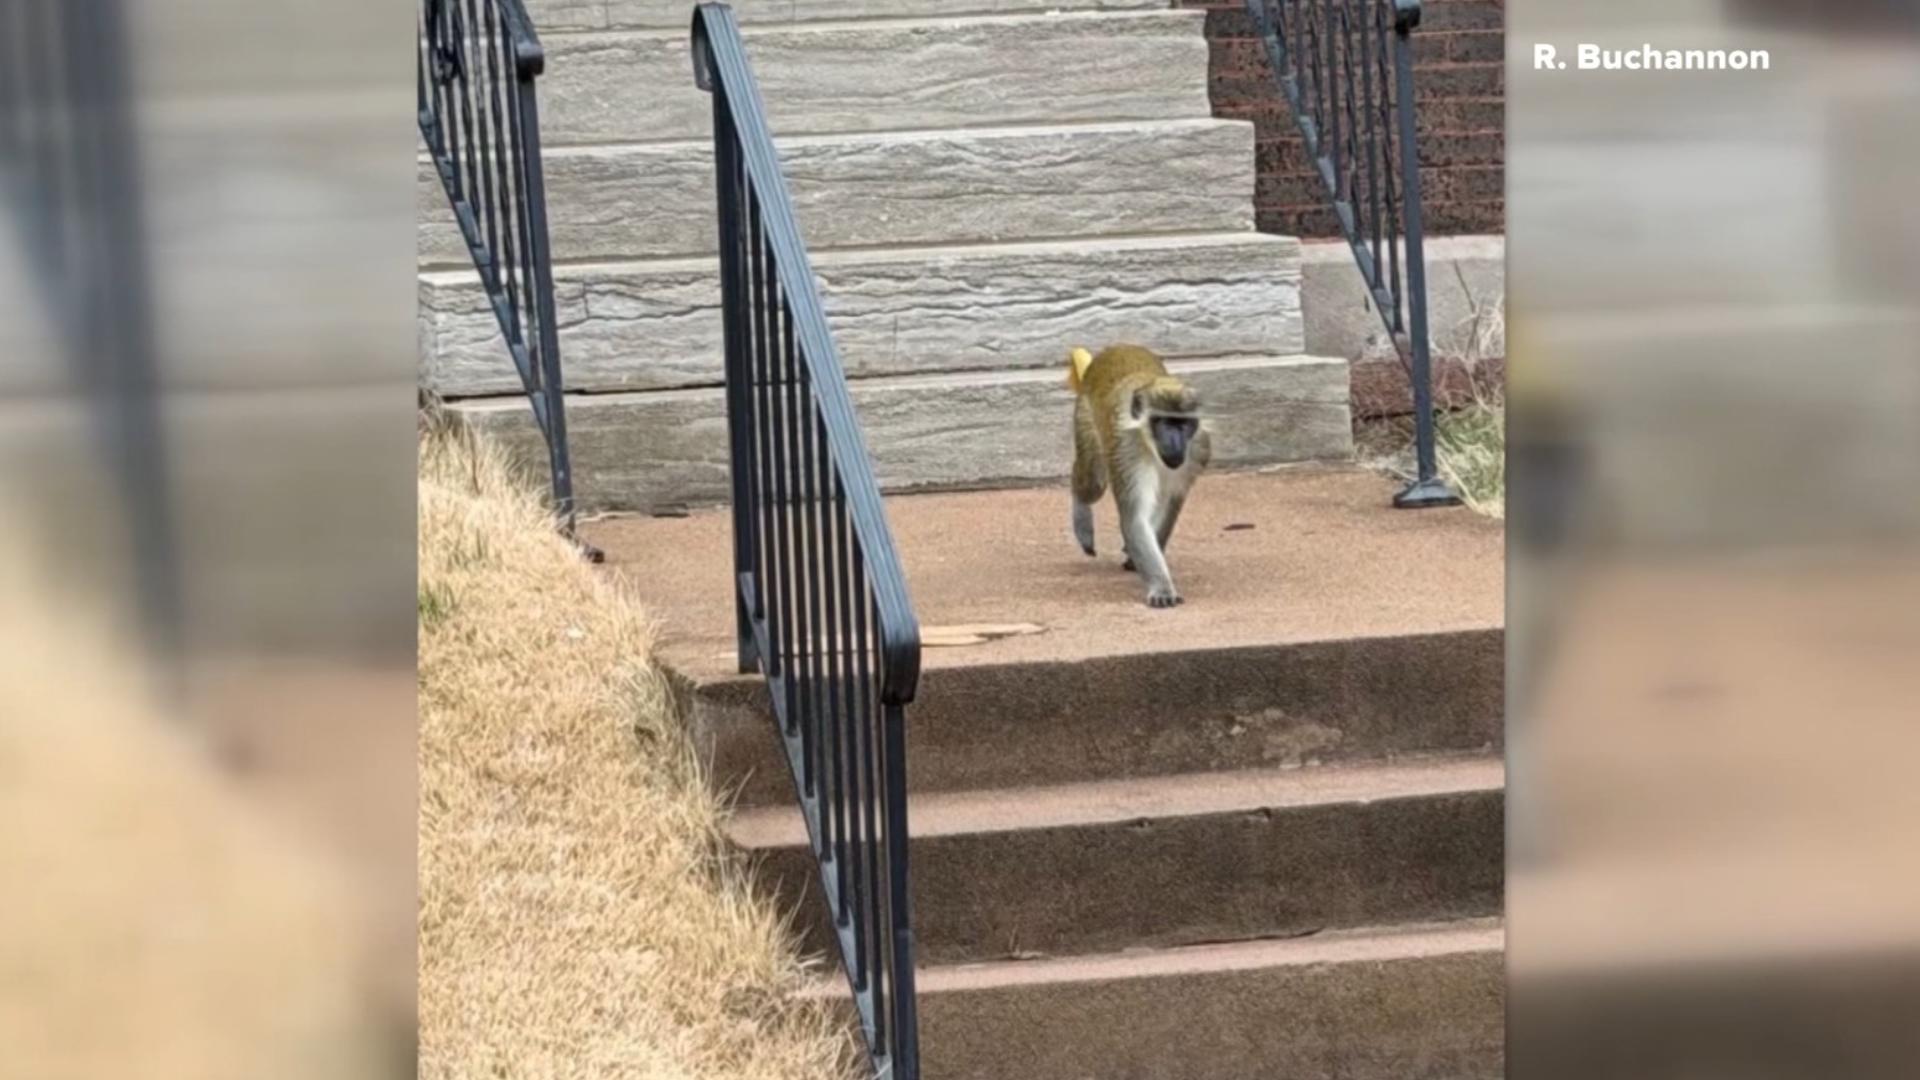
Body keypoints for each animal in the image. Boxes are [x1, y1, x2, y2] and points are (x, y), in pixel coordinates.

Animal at [1067, 344, 1211, 608]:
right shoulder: (1127, 451)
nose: (1176, 444)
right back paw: (1081, 512)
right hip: (1084, 416)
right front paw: (1162, 588)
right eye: (1163, 422)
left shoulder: (1198, 448)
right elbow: (1134, 519)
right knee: (1092, 482)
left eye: (1183, 424)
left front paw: (1138, 560)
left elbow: (1170, 505)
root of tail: (1118, 347)